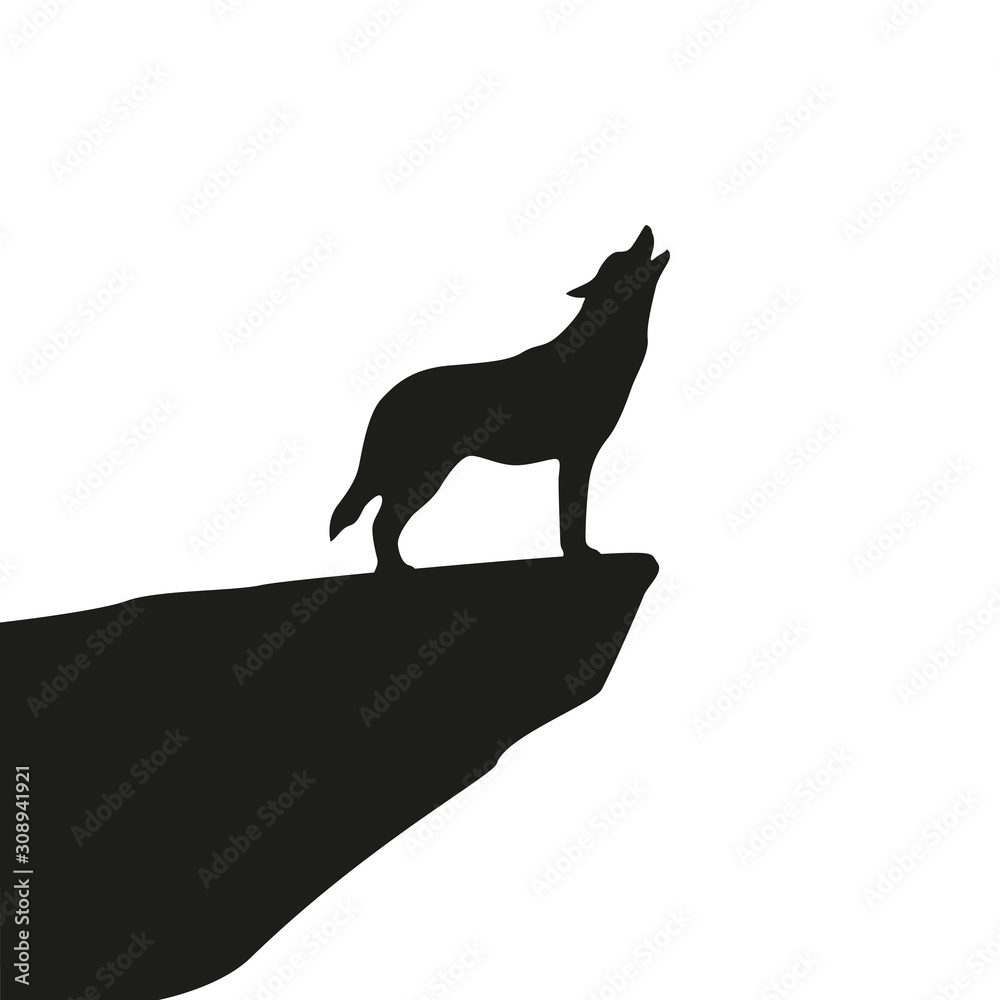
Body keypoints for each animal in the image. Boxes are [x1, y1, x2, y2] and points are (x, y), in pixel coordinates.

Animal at [329, 225, 670, 570]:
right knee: (383, 522)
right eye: (622, 256)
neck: (601, 347)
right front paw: (579, 555)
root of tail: (384, 401)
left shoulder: (578, 456)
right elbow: (572, 513)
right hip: (422, 474)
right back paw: (395, 570)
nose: (646, 228)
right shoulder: (577, 455)